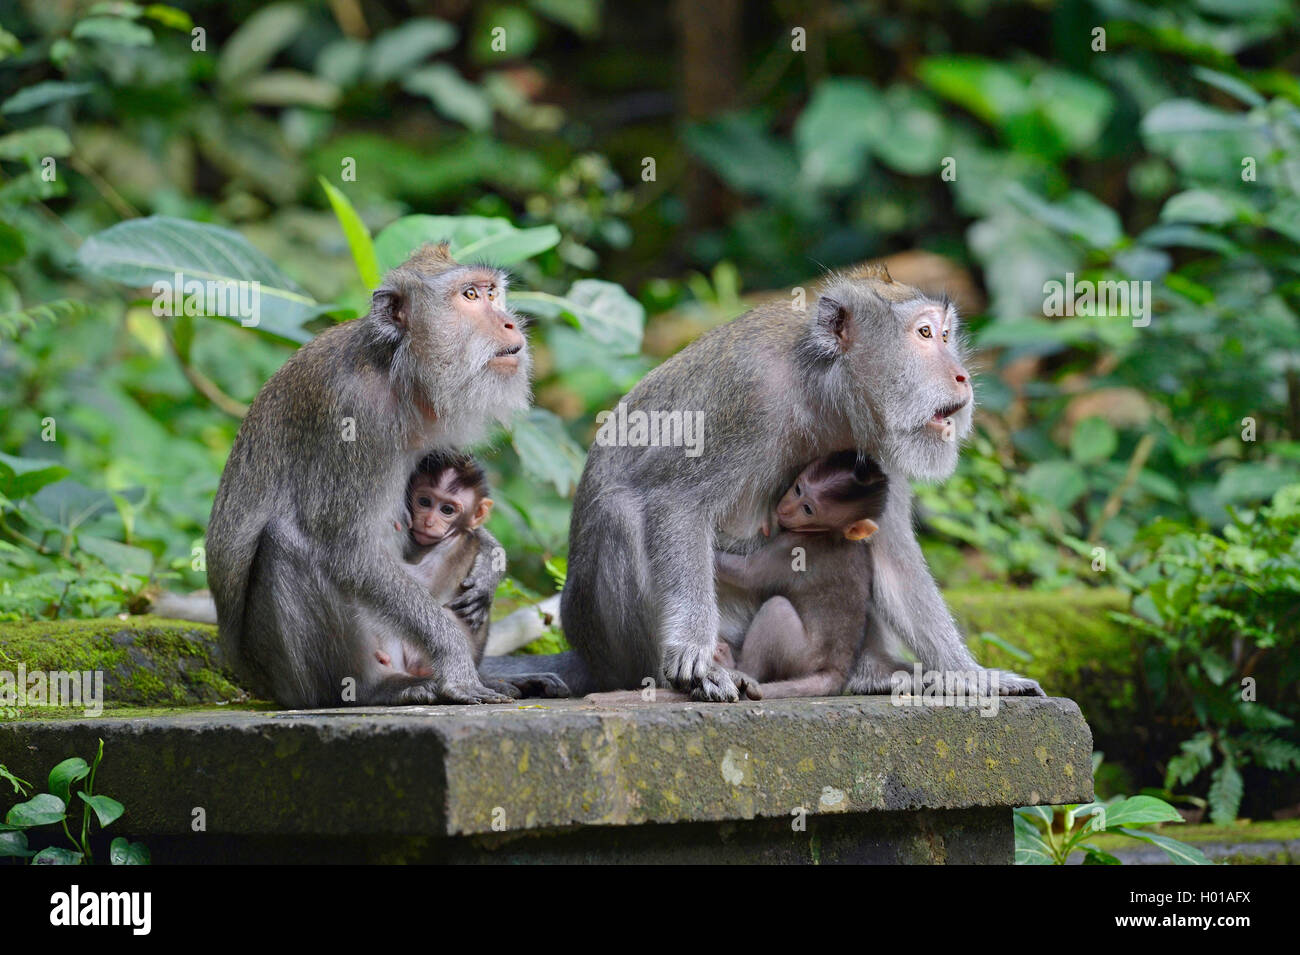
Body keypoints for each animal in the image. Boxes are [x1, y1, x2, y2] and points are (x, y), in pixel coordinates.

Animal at [207, 241, 565, 708]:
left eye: (491, 293)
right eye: (469, 296)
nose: (507, 321)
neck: (396, 370)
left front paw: (491, 559)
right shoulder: (354, 412)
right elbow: (347, 549)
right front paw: (456, 663)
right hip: (307, 674)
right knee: (287, 542)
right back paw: (372, 690)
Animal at [483, 261, 1044, 701]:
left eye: (947, 336)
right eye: (925, 335)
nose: (961, 376)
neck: (823, 390)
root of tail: (587, 656)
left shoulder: (879, 444)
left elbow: (892, 556)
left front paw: (973, 676)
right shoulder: (751, 395)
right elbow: (677, 501)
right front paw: (693, 655)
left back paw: (872, 673)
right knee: (623, 511)